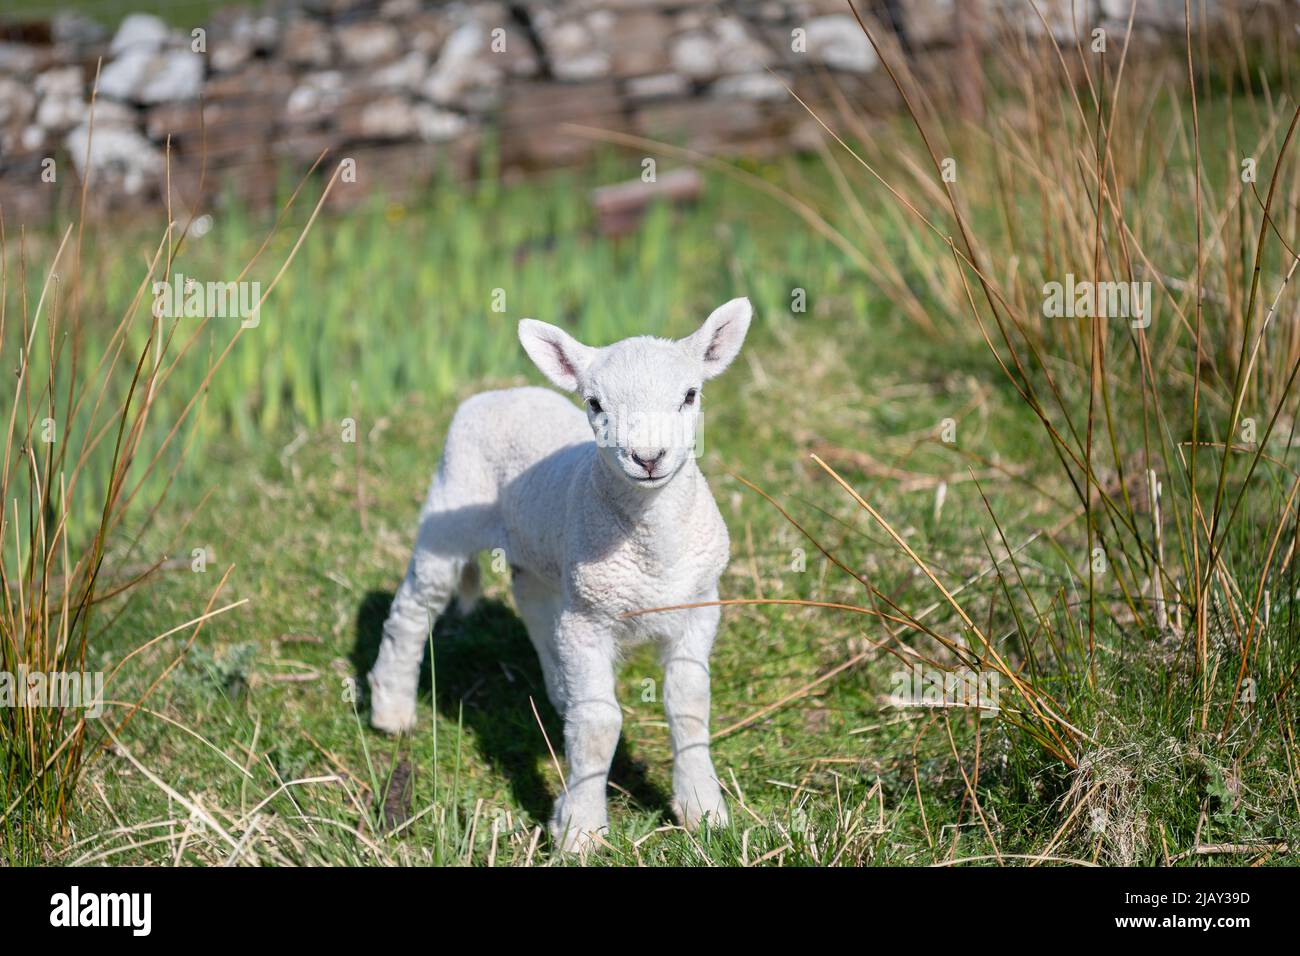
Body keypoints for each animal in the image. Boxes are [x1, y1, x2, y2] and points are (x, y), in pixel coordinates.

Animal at [367, 297, 752, 851]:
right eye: (594, 403)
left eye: (689, 395)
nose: (648, 458)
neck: (651, 546)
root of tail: (503, 392)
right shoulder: (588, 621)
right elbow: (599, 724)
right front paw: (582, 829)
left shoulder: (699, 606)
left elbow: (689, 703)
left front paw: (703, 810)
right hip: (449, 514)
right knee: (413, 610)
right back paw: (391, 709)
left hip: (544, 556)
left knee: (533, 604)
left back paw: (559, 690)